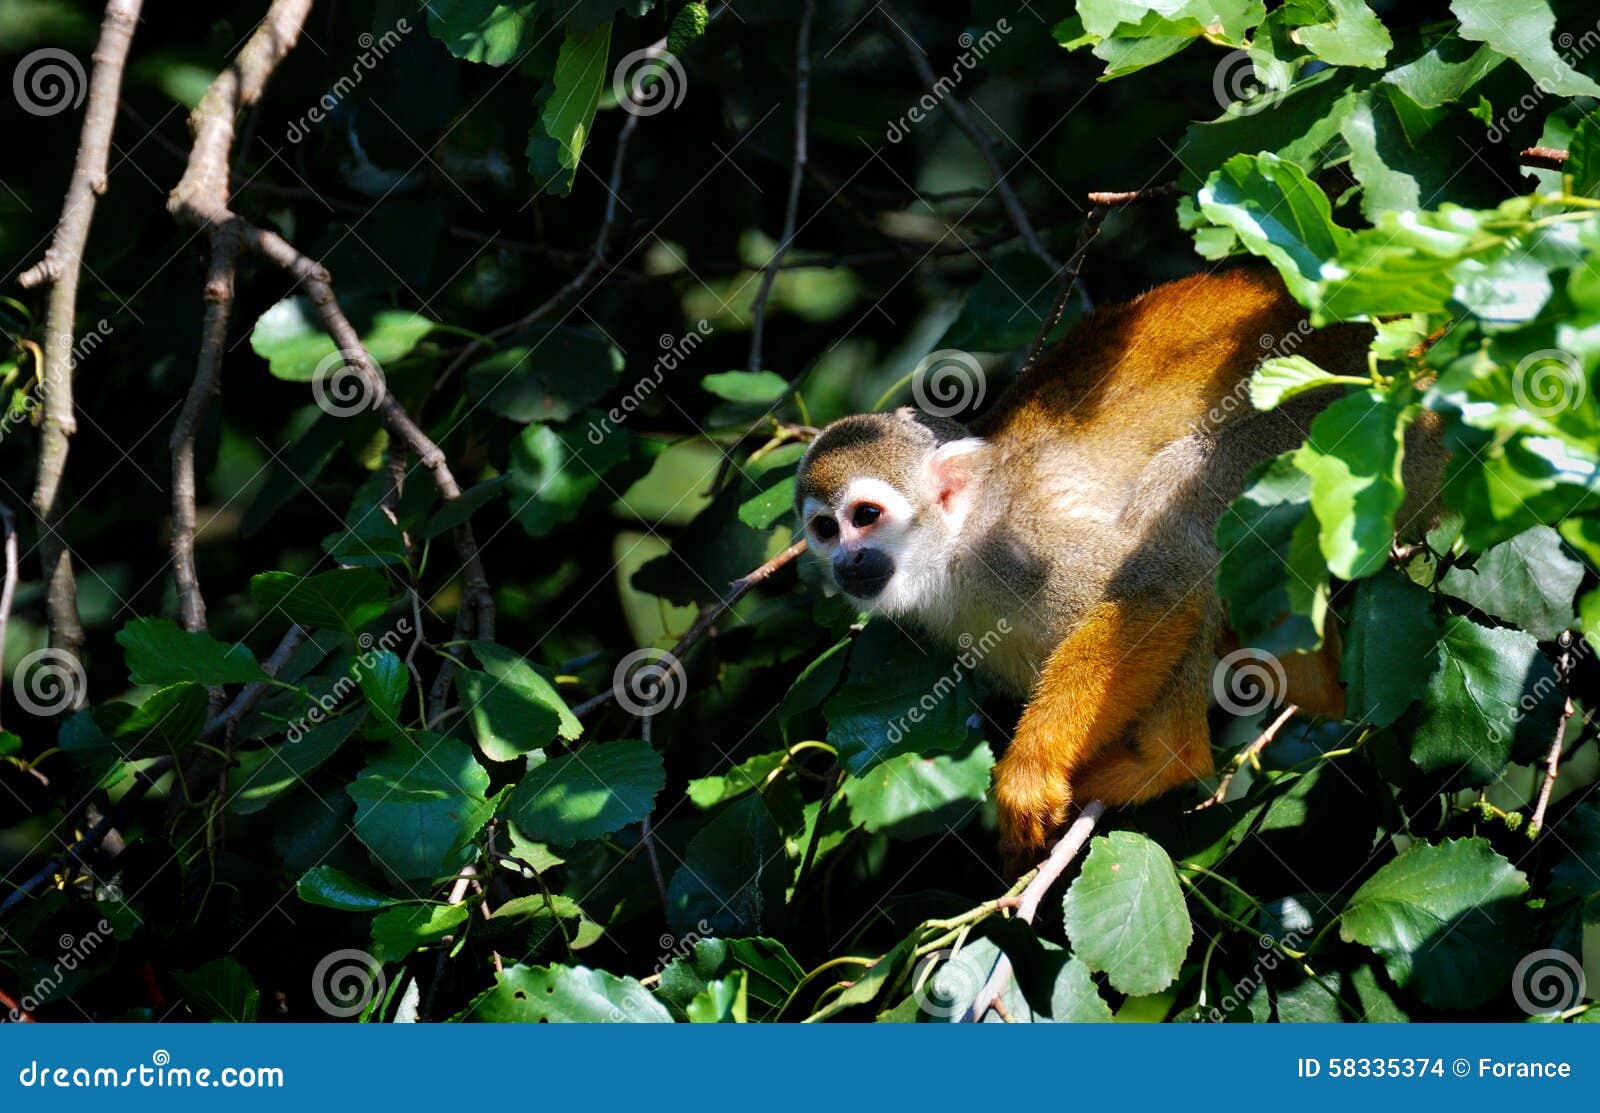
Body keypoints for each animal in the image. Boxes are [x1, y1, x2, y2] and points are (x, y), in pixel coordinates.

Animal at [794, 264, 1444, 869]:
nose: (848, 561)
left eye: (866, 516)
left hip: (1363, 440)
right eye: (825, 529)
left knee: (1183, 501)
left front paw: (1031, 770)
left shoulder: (1021, 545)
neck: (954, 554)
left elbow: (1162, 586)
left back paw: (1170, 758)